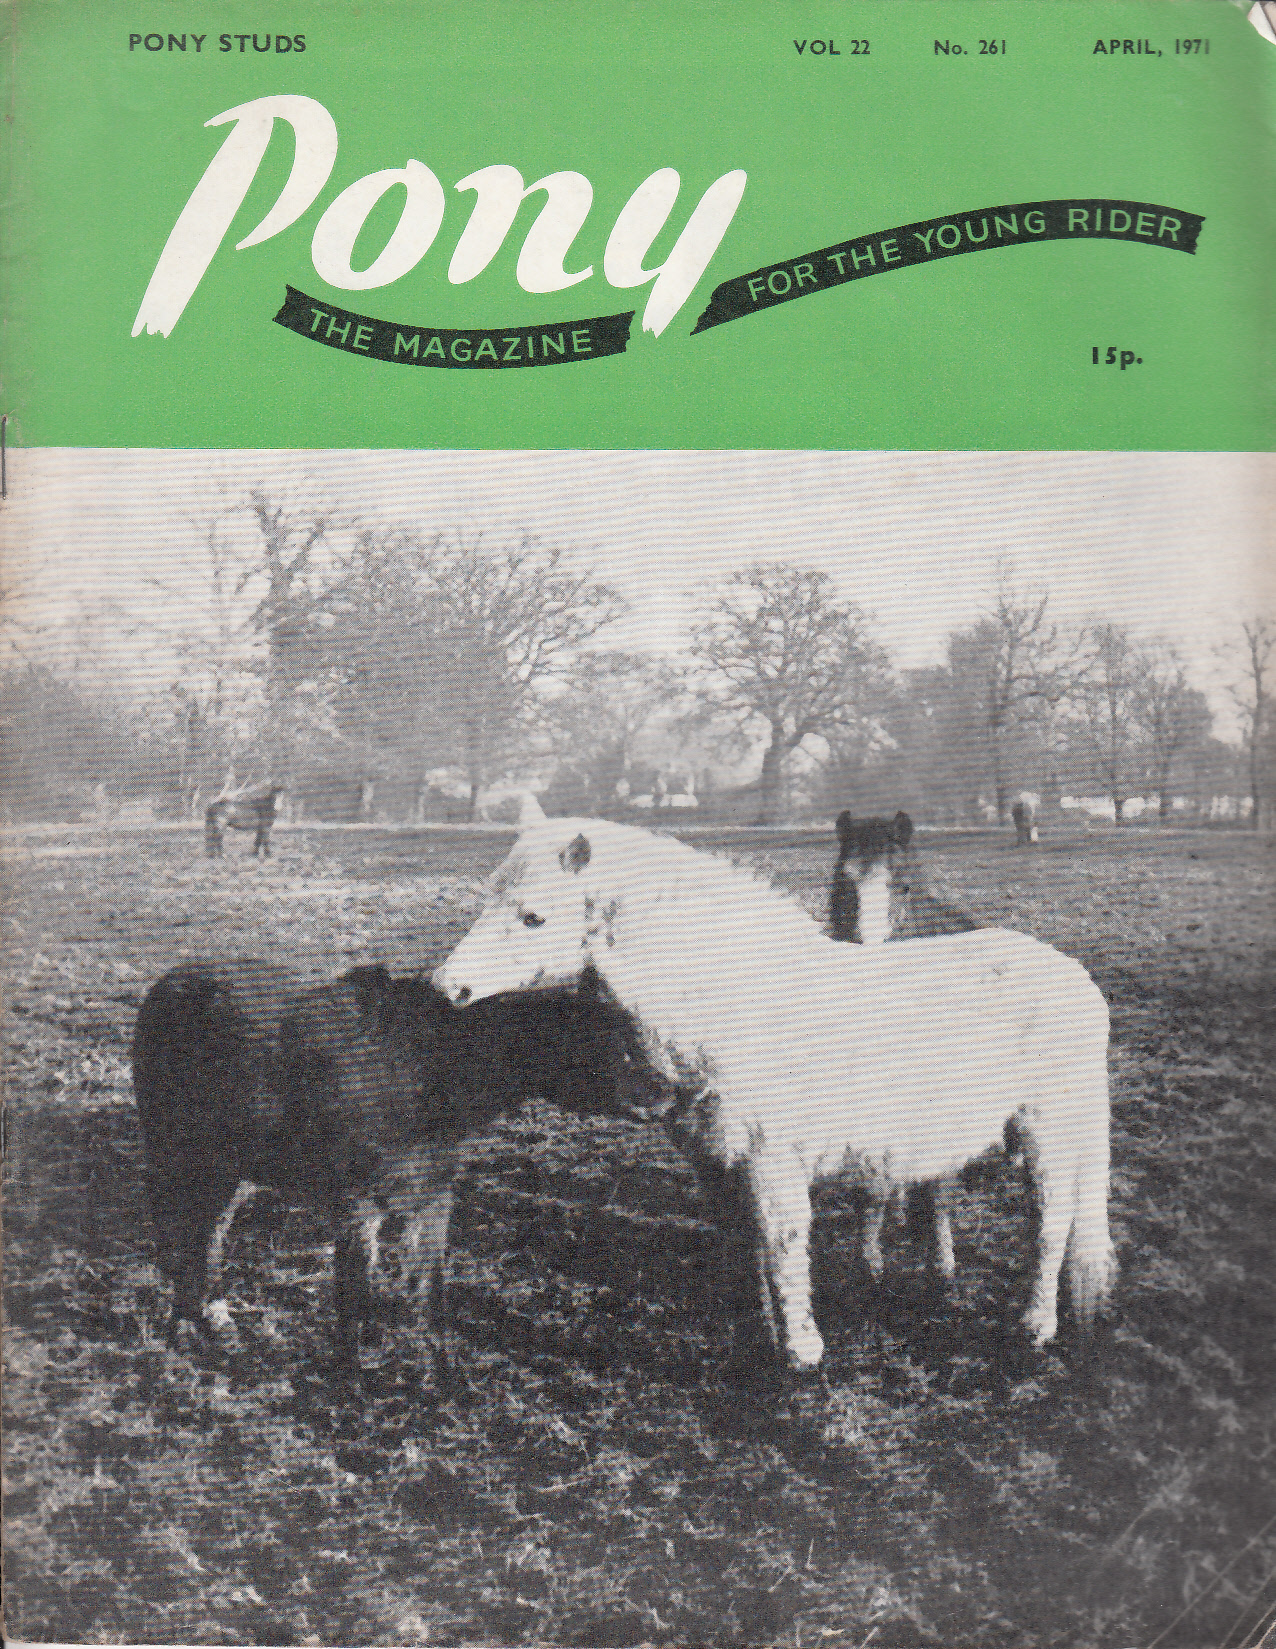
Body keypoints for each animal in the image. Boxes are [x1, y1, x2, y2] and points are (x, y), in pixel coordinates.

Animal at [131, 958, 665, 1370]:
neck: (433, 1067)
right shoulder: (355, 1200)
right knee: (176, 1230)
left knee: (211, 1230)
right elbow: (356, 1290)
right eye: (610, 1042)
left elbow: (430, 1290)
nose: (671, 1095)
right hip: (175, 1150)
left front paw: (443, 1373)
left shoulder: (433, 1194)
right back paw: (183, 1325)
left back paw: (216, 1319)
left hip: (231, 1164)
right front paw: (352, 1377)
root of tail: (172, 981)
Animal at [829, 809, 981, 1278]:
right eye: (844, 884)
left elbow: (939, 1188)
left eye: (902, 886)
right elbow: (871, 1184)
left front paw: (942, 1261)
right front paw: (870, 1261)